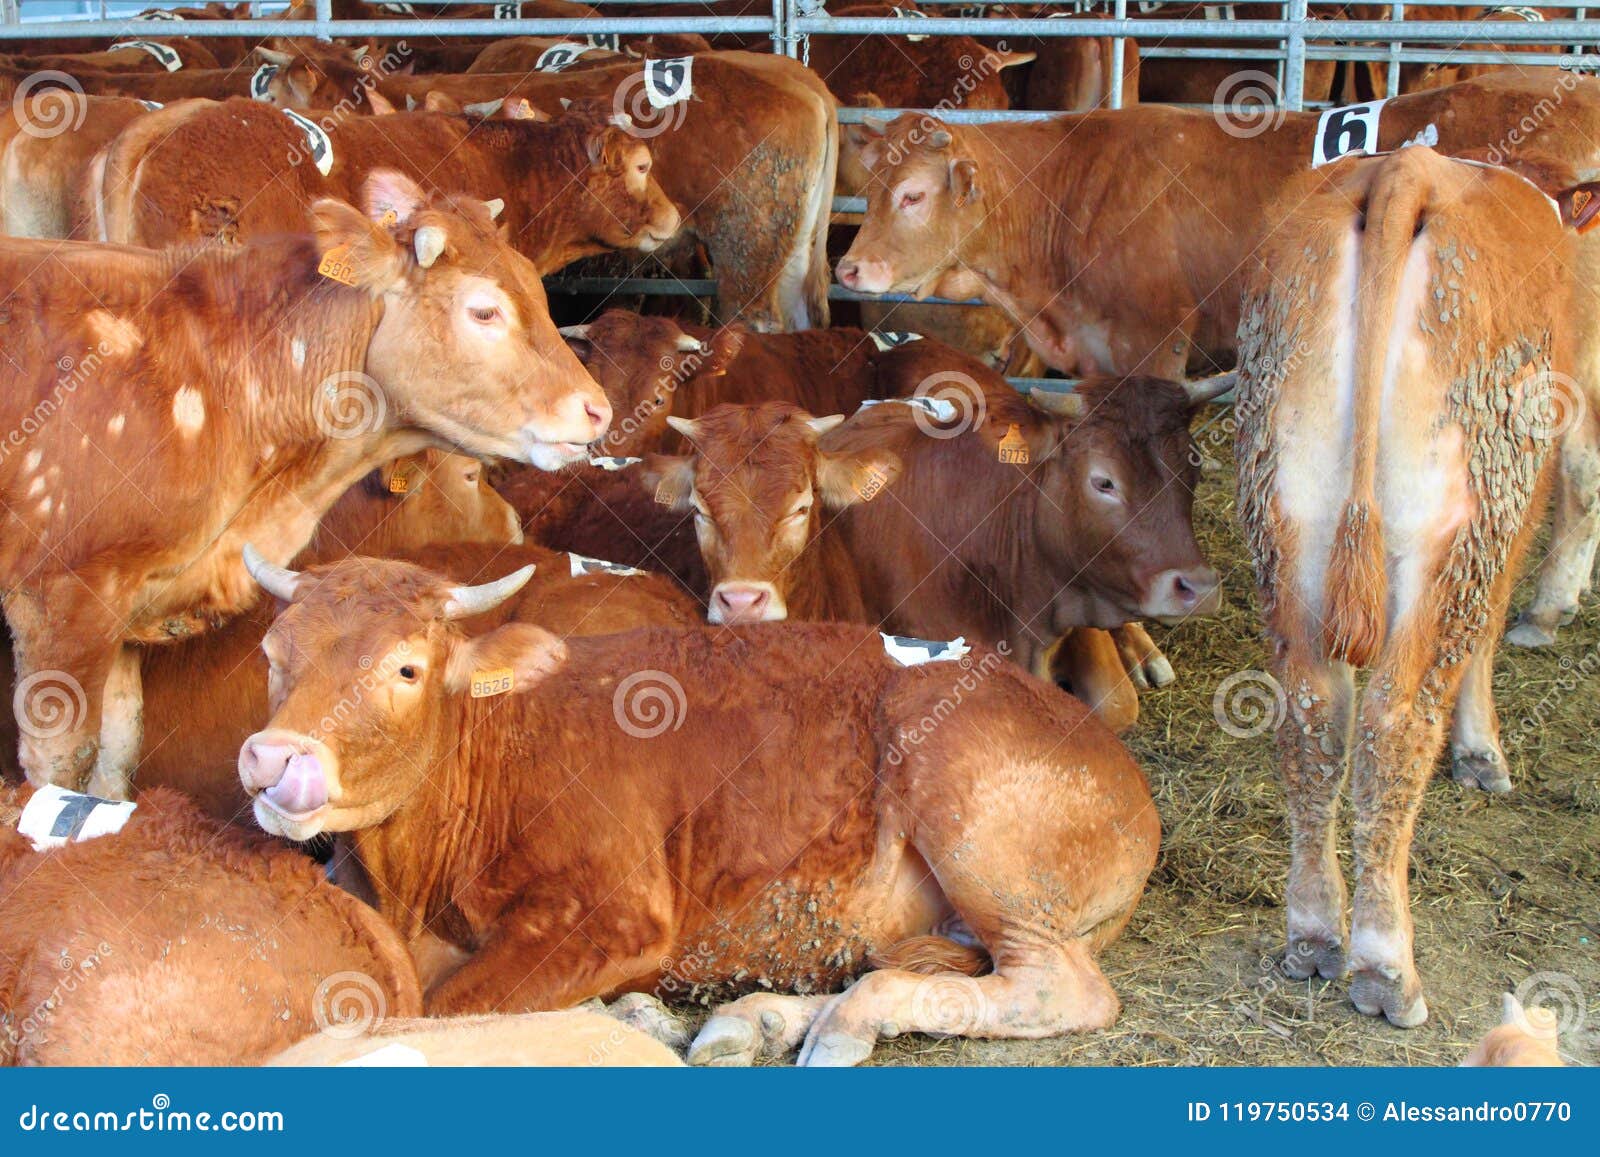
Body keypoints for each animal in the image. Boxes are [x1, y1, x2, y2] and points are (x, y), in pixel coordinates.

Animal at [0, 169, 609, 799]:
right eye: (484, 312)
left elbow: (116, 756)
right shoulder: (65, 596)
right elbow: (62, 764)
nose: (598, 410)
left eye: (539, 293)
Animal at [237, 550, 1160, 1066]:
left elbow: (442, 1009)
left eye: (406, 668)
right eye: (273, 654)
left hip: (980, 828)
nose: (274, 757)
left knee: (1060, 989)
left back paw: (843, 1025)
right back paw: (756, 1020)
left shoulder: (619, 915)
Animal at [1234, 146, 1583, 1025]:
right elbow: (1490, 632)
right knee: (1393, 717)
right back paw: (1386, 967)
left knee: (1314, 713)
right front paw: (1482, 750)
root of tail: (1407, 168)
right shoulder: (1517, 505)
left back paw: (1314, 935)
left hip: (1288, 512)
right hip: (1455, 522)